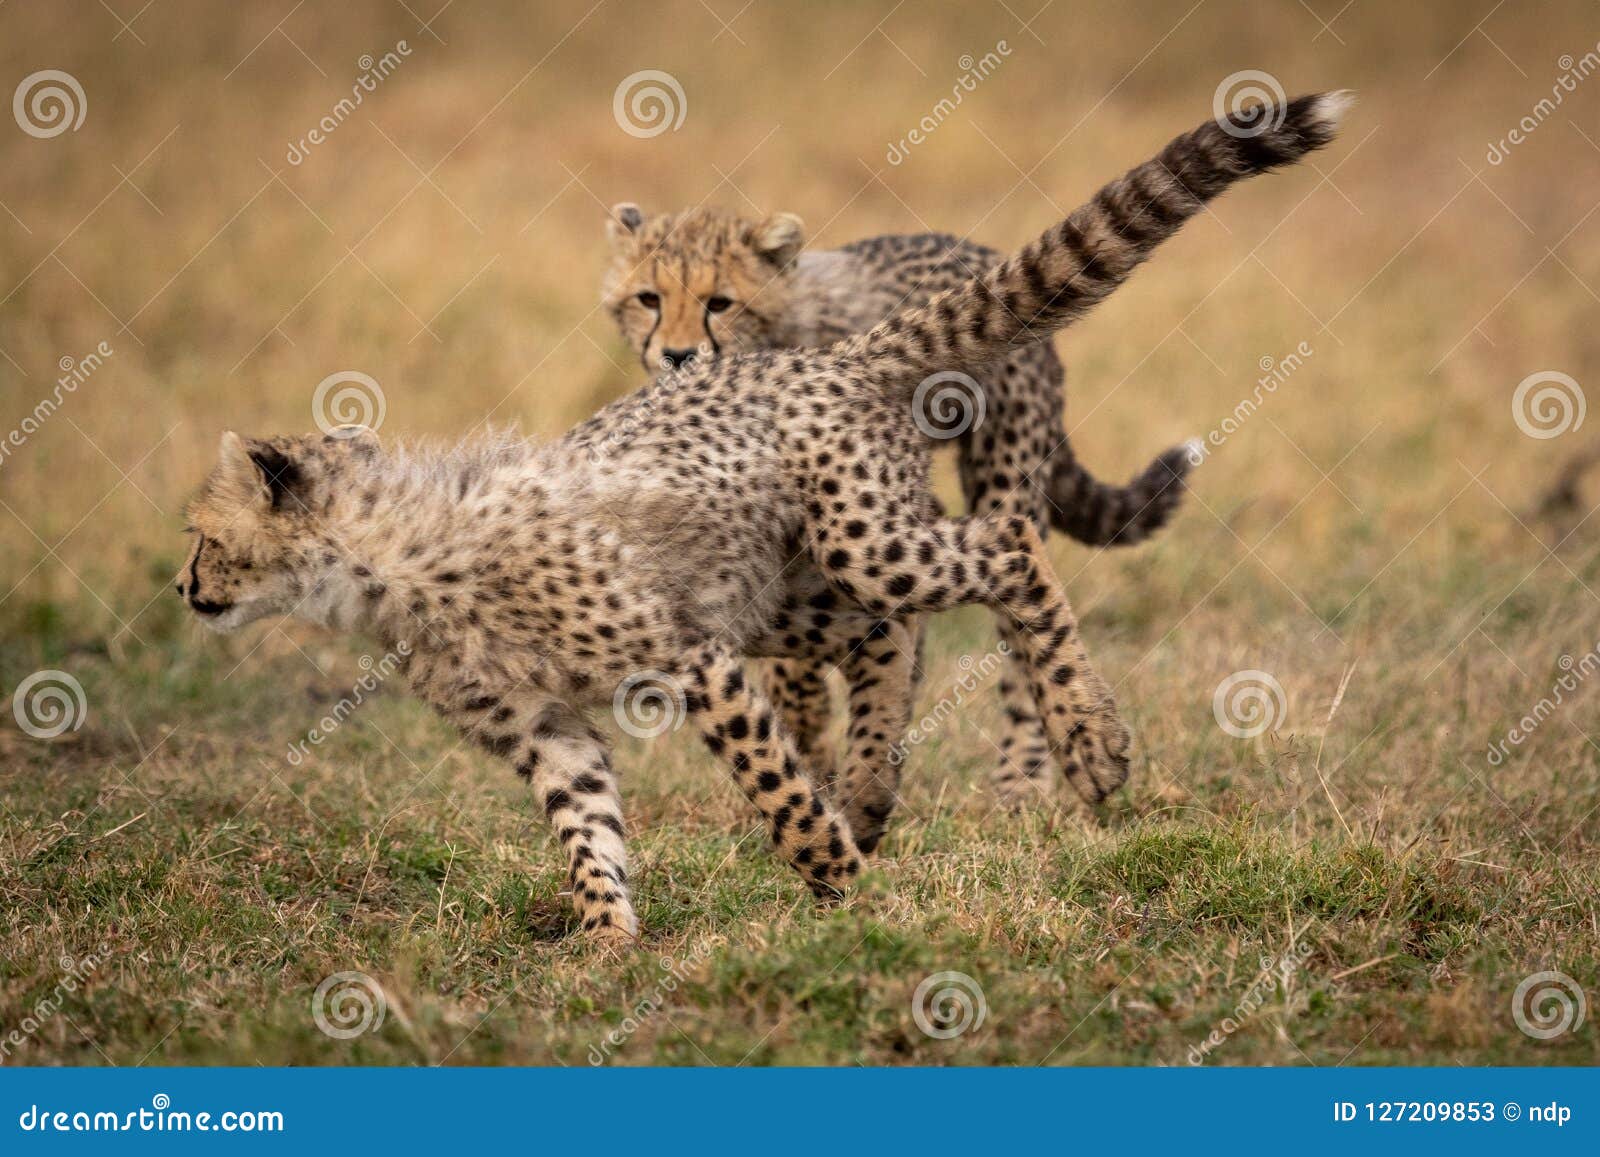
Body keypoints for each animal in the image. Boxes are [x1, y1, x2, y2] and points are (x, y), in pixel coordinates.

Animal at [178, 94, 1348, 941]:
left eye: (200, 532)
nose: (181, 585)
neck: (386, 560)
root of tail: (829, 356)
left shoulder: (689, 656)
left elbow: (777, 786)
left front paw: (843, 887)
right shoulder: (553, 724)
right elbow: (586, 825)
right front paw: (605, 940)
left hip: (872, 541)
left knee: (1009, 554)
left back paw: (1083, 744)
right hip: (787, 591)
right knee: (889, 636)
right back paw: (890, 779)